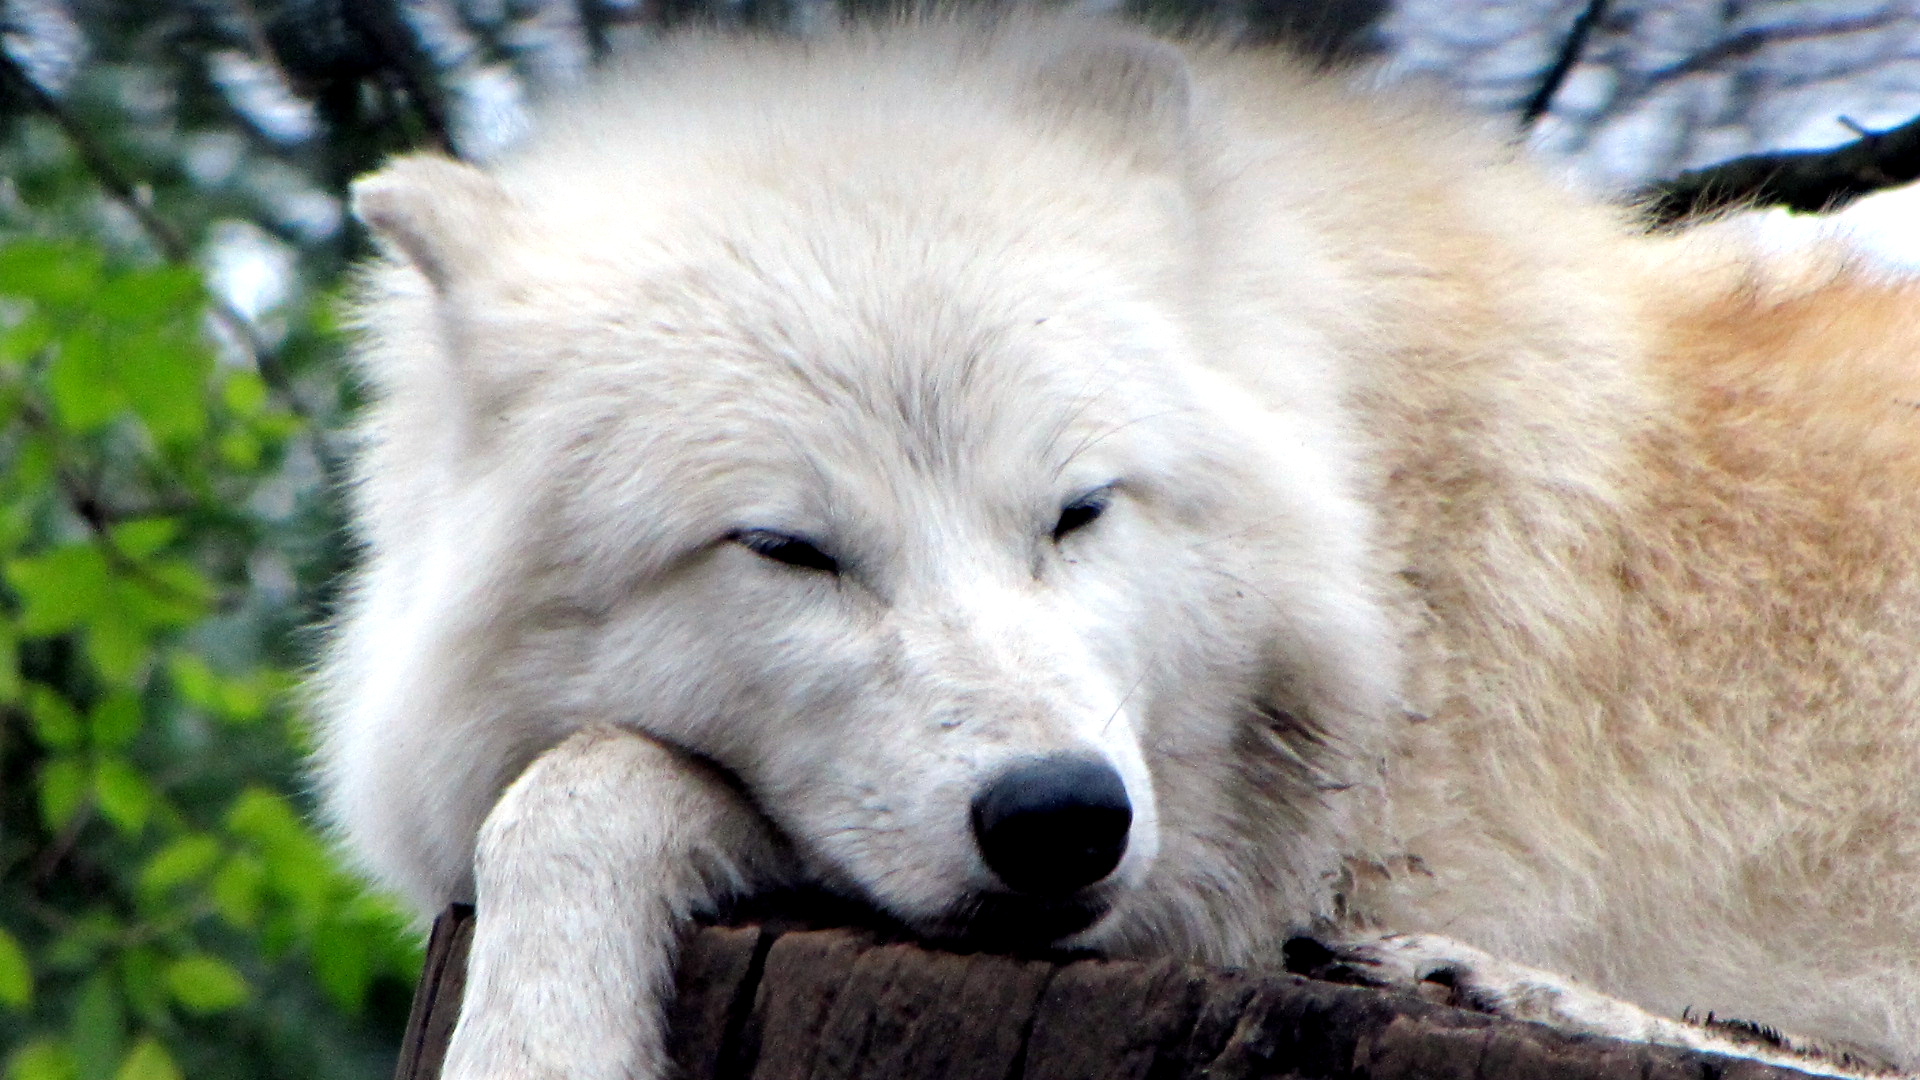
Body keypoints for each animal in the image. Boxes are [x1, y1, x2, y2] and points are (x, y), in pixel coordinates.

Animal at [314, 13, 1920, 1079]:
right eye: (787, 548)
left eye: (1077, 511)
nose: (1058, 817)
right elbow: (579, 779)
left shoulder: (1228, 875)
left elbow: (576, 787)